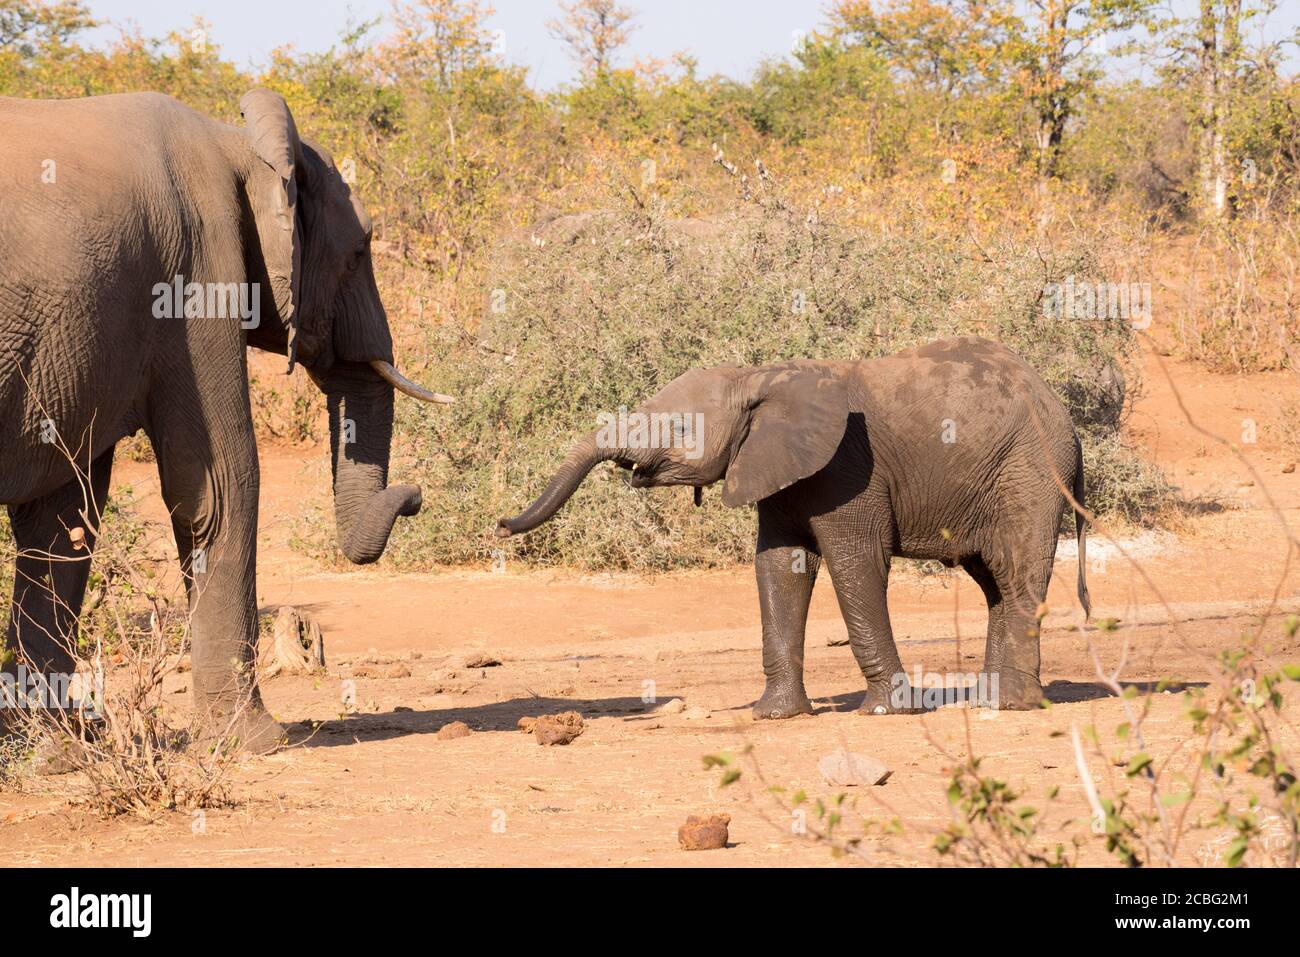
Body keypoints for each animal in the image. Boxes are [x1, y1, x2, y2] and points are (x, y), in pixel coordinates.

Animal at [0, 88, 449, 753]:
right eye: (359, 251)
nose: (414, 496)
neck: (240, 144)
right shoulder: (195, 272)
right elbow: (220, 487)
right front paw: (260, 744)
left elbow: (61, 517)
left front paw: (53, 748)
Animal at [497, 336, 1090, 716]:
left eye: (683, 428)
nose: (500, 526)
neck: (758, 378)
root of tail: (1063, 413)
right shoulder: (777, 467)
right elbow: (779, 567)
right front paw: (774, 715)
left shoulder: (849, 469)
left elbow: (855, 565)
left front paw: (884, 712)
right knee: (993, 582)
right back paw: (993, 698)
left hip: (1030, 470)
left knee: (1018, 572)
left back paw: (1014, 705)